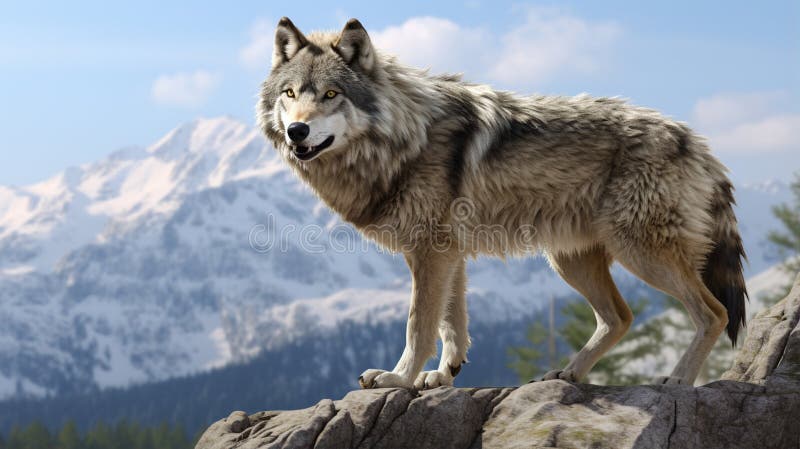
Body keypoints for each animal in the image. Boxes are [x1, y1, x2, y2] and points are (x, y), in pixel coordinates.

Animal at [257, 17, 747, 388]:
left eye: (331, 95)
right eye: (290, 94)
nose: (297, 131)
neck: (404, 139)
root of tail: (698, 143)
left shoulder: (430, 254)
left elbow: (419, 324)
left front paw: (398, 378)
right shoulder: (448, 255)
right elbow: (452, 322)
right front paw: (442, 376)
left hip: (639, 254)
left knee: (714, 313)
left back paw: (677, 380)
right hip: (571, 261)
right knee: (620, 318)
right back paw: (566, 374)